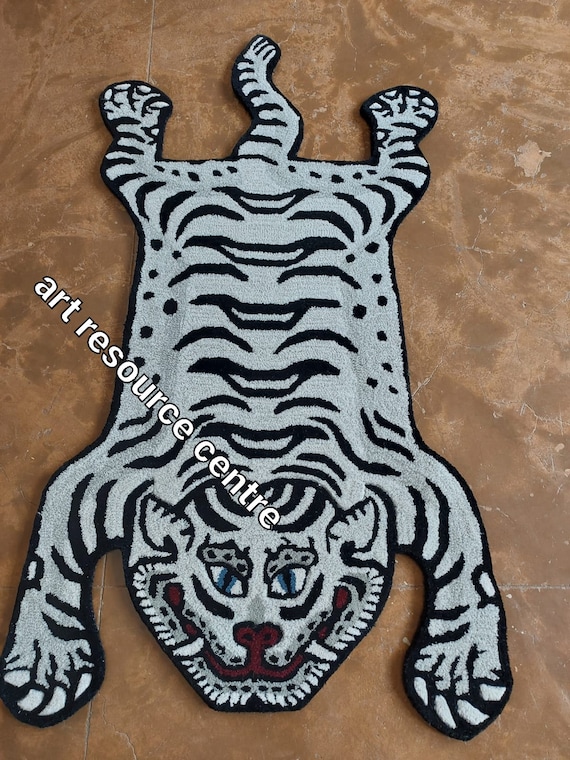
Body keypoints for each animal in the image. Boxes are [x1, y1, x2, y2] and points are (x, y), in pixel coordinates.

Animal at [0, 35, 511, 740]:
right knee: (124, 162)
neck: (260, 456)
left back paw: (402, 112)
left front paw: (460, 674)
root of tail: (263, 168)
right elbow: (47, 564)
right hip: (159, 194)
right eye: (222, 574)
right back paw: (133, 107)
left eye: (294, 580)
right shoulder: (101, 475)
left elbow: (469, 572)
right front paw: (44, 666)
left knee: (404, 166)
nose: (257, 636)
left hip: (375, 199)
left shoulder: (420, 482)